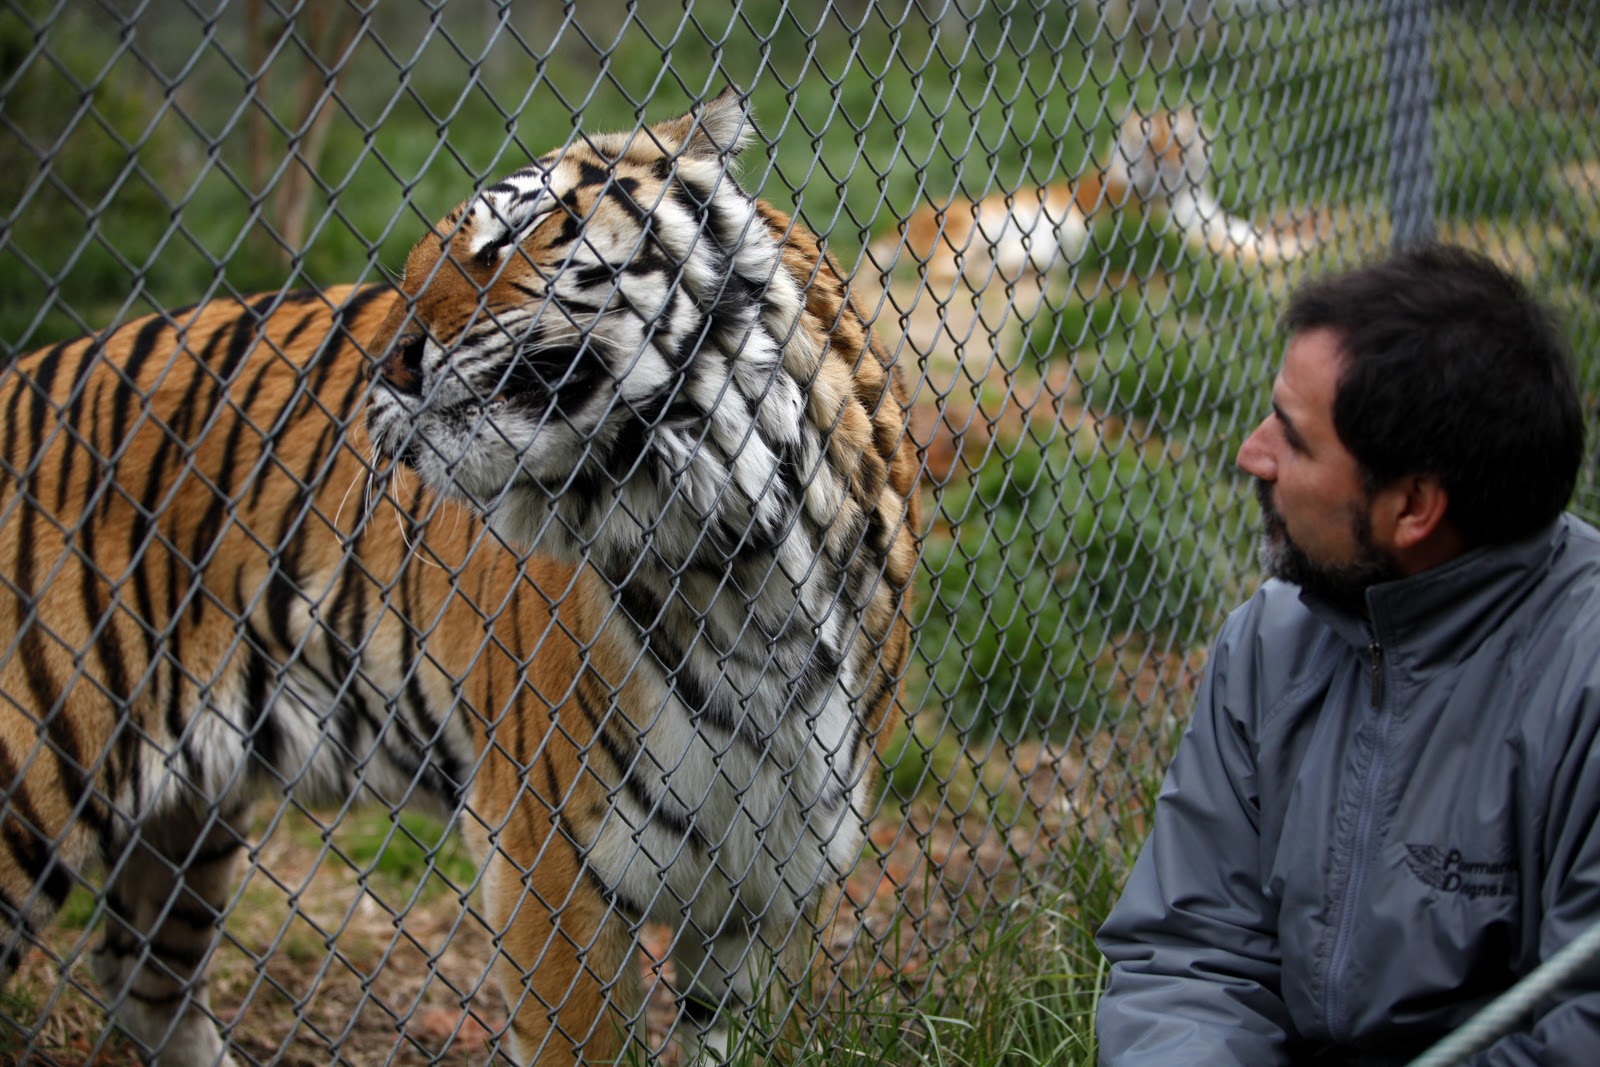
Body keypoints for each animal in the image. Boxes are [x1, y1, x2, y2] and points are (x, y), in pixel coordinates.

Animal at [0, 88, 920, 1067]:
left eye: (509, 238)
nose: (389, 362)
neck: (747, 562)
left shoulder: (775, 884)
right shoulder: (551, 864)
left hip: (184, 821)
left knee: (143, 971)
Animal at [875, 106, 1320, 282]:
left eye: (1180, 145)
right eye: (1151, 148)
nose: (1167, 166)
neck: (1181, 196)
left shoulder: (1210, 216)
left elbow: (1250, 233)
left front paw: (1300, 241)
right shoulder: (1178, 233)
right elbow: (1237, 249)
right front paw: (1291, 253)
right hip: (968, 222)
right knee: (940, 269)